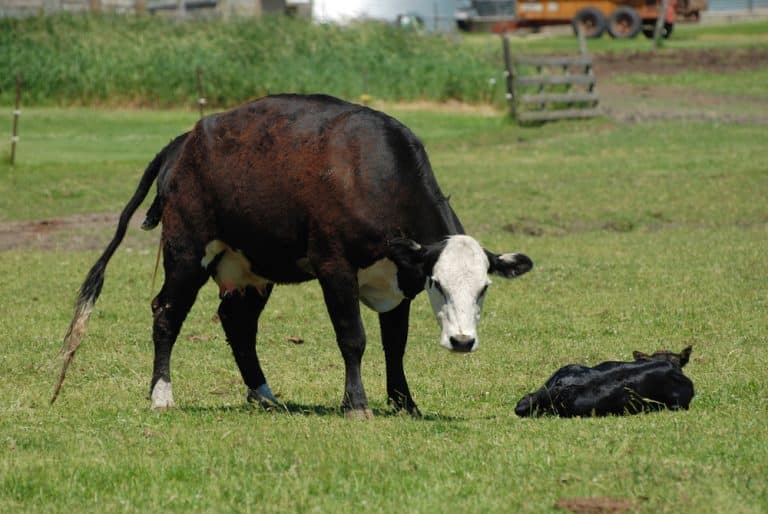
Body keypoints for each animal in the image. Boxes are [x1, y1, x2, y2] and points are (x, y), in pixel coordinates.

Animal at [52, 94, 533, 418]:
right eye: (438, 283)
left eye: (484, 288)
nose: (463, 341)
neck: (370, 174)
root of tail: (185, 142)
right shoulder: (335, 267)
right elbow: (353, 338)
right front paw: (356, 404)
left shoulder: (397, 278)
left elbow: (394, 344)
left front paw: (404, 403)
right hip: (186, 252)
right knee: (166, 313)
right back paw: (161, 395)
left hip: (249, 267)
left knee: (238, 323)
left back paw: (262, 393)